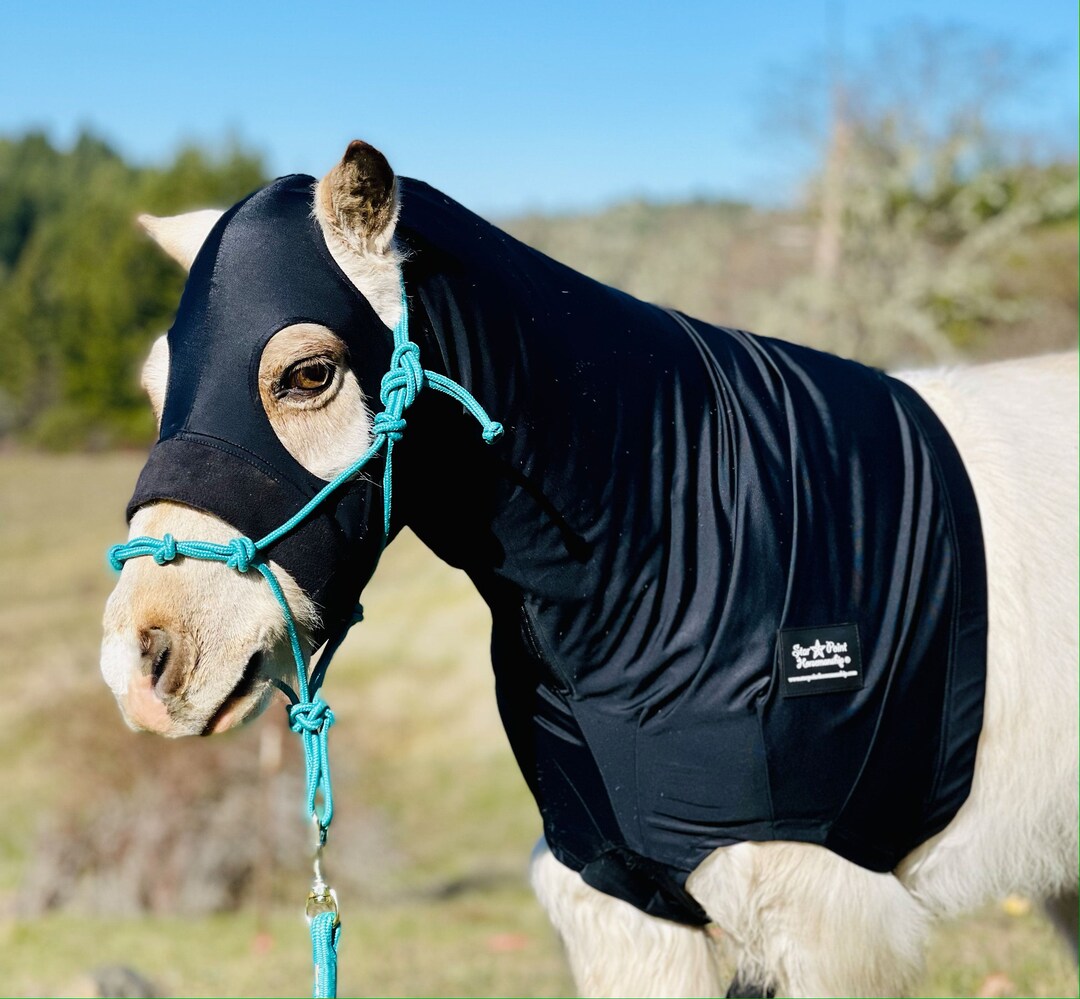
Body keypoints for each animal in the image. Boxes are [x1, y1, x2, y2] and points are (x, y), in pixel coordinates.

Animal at [100, 140, 1079, 997]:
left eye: (308, 373)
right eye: (155, 389)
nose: (138, 664)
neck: (688, 536)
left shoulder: (817, 908)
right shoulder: (624, 900)